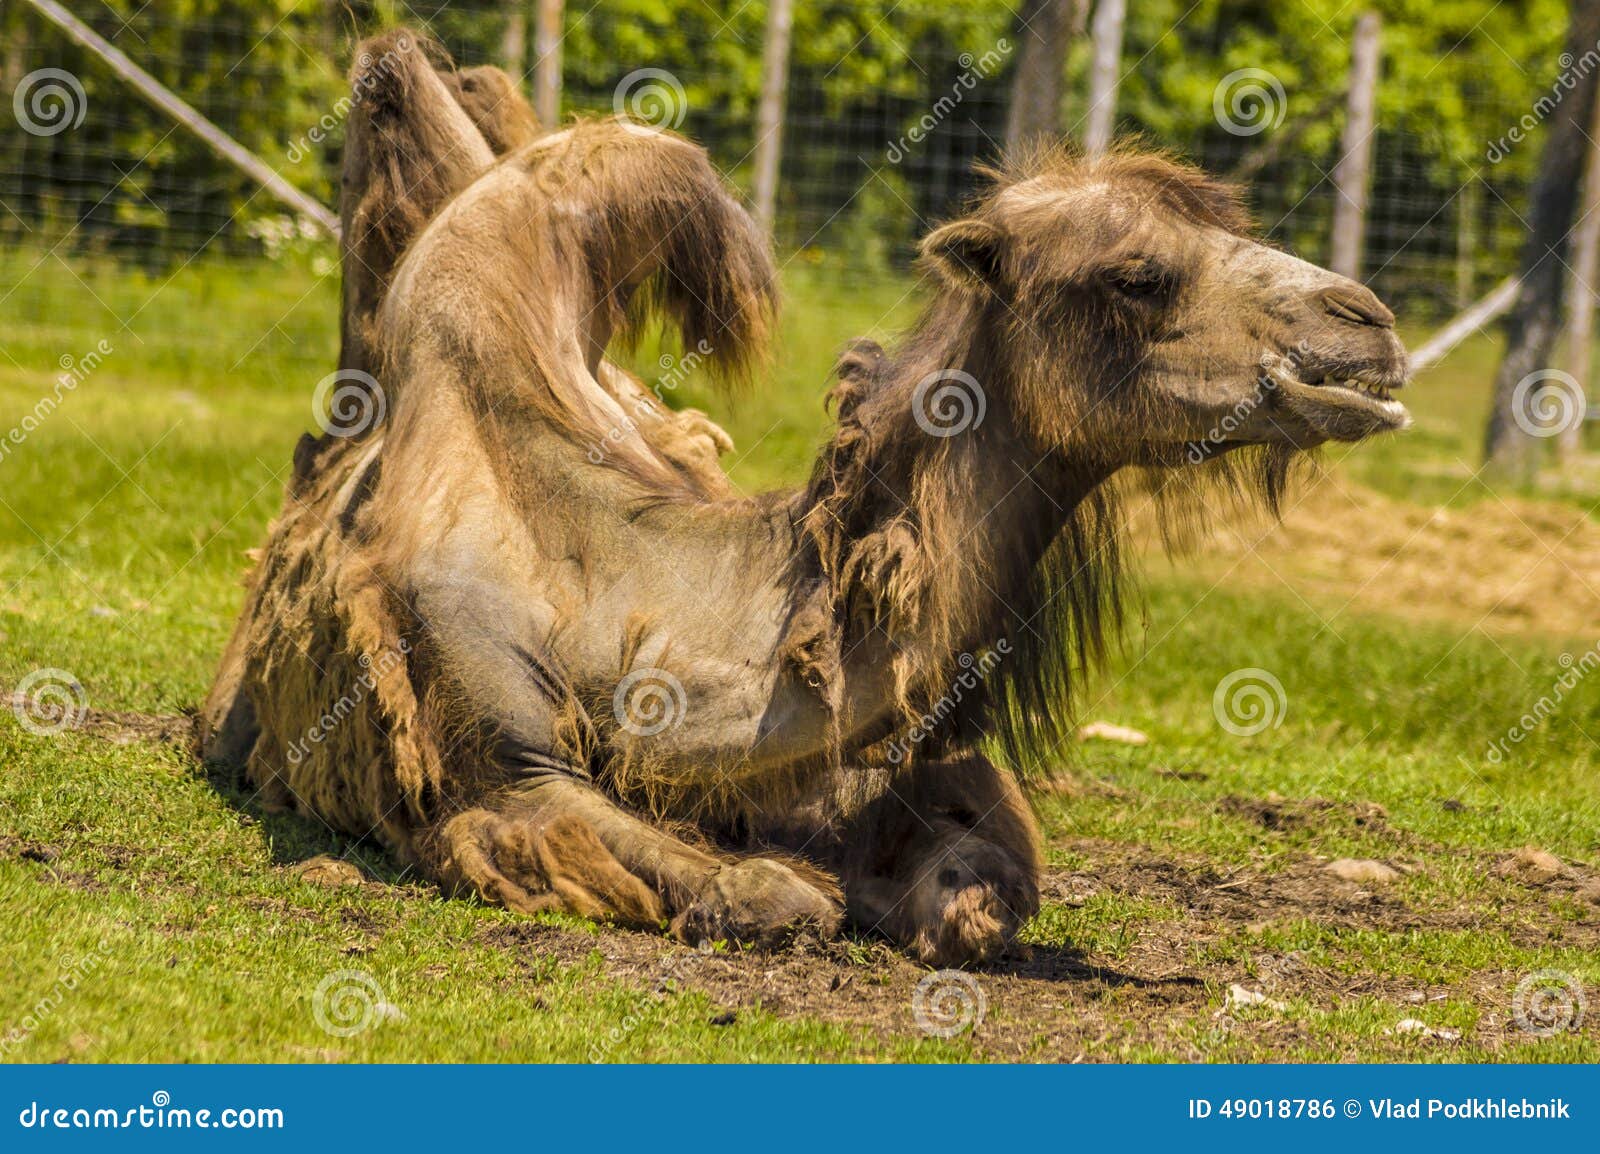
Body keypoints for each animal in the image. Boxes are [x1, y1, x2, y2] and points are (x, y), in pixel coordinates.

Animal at [201, 32, 1410, 967]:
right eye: (1138, 274)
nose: (1369, 321)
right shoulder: (498, 765)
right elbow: (751, 888)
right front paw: (810, 891)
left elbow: (998, 860)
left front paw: (926, 895)